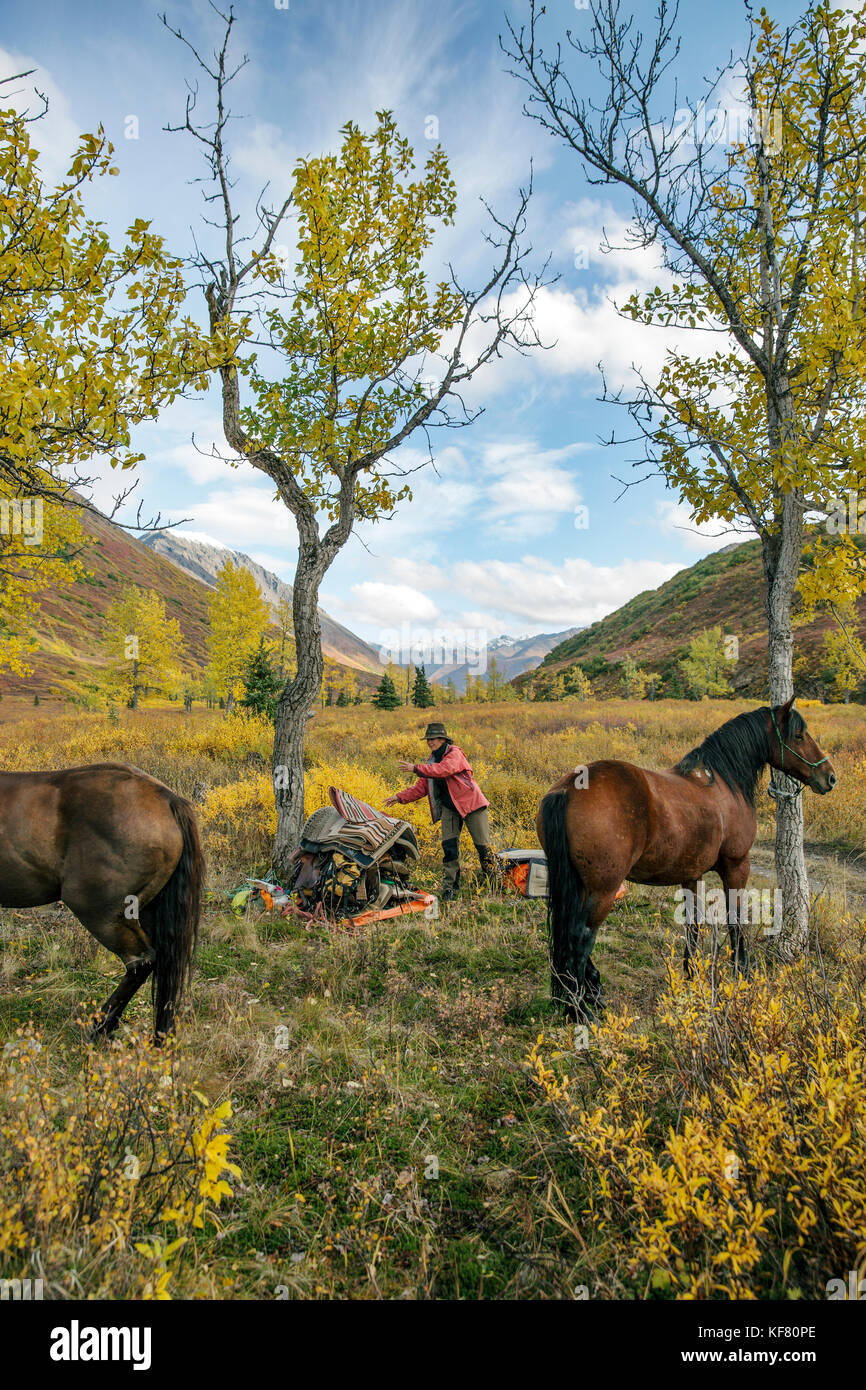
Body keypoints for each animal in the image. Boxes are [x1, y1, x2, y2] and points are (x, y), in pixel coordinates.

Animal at [537, 698, 836, 1020]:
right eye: (799, 735)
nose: (829, 777)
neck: (723, 784)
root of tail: (568, 788)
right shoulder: (736, 866)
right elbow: (736, 921)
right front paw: (741, 974)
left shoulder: (691, 875)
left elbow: (693, 925)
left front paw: (691, 977)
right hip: (603, 890)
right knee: (580, 937)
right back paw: (581, 1010)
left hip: (578, 885)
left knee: (567, 931)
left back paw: (588, 993)